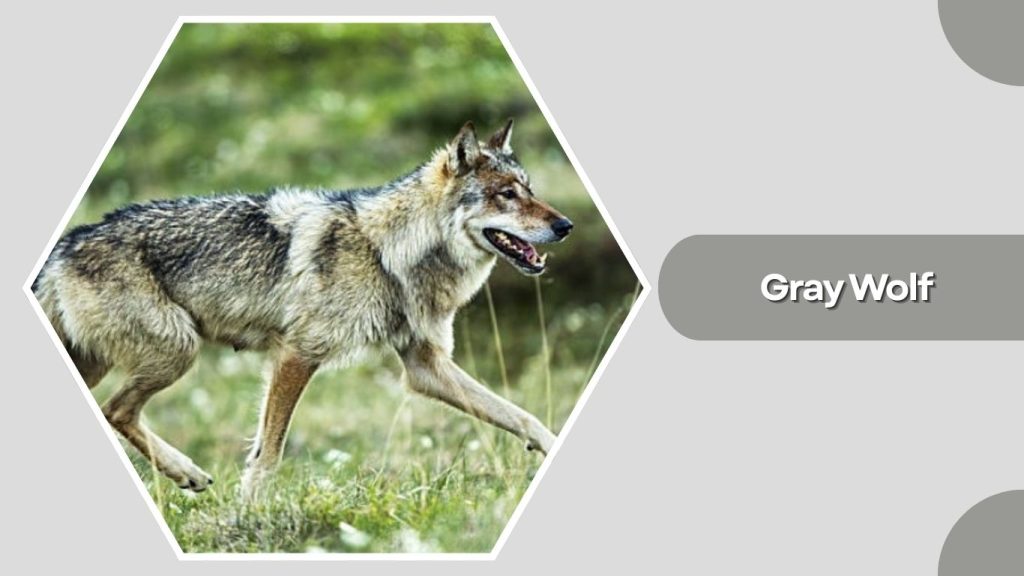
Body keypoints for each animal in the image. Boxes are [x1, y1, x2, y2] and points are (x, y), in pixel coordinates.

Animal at [33, 120, 573, 495]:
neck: (388, 252)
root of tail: (64, 247)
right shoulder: (297, 354)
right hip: (177, 352)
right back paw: (187, 472)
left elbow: (521, 416)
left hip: (115, 360)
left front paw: (551, 448)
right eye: (506, 195)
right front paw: (250, 513)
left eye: (530, 190)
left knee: (113, 410)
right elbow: (267, 454)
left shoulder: (425, 366)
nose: (565, 225)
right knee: (117, 410)